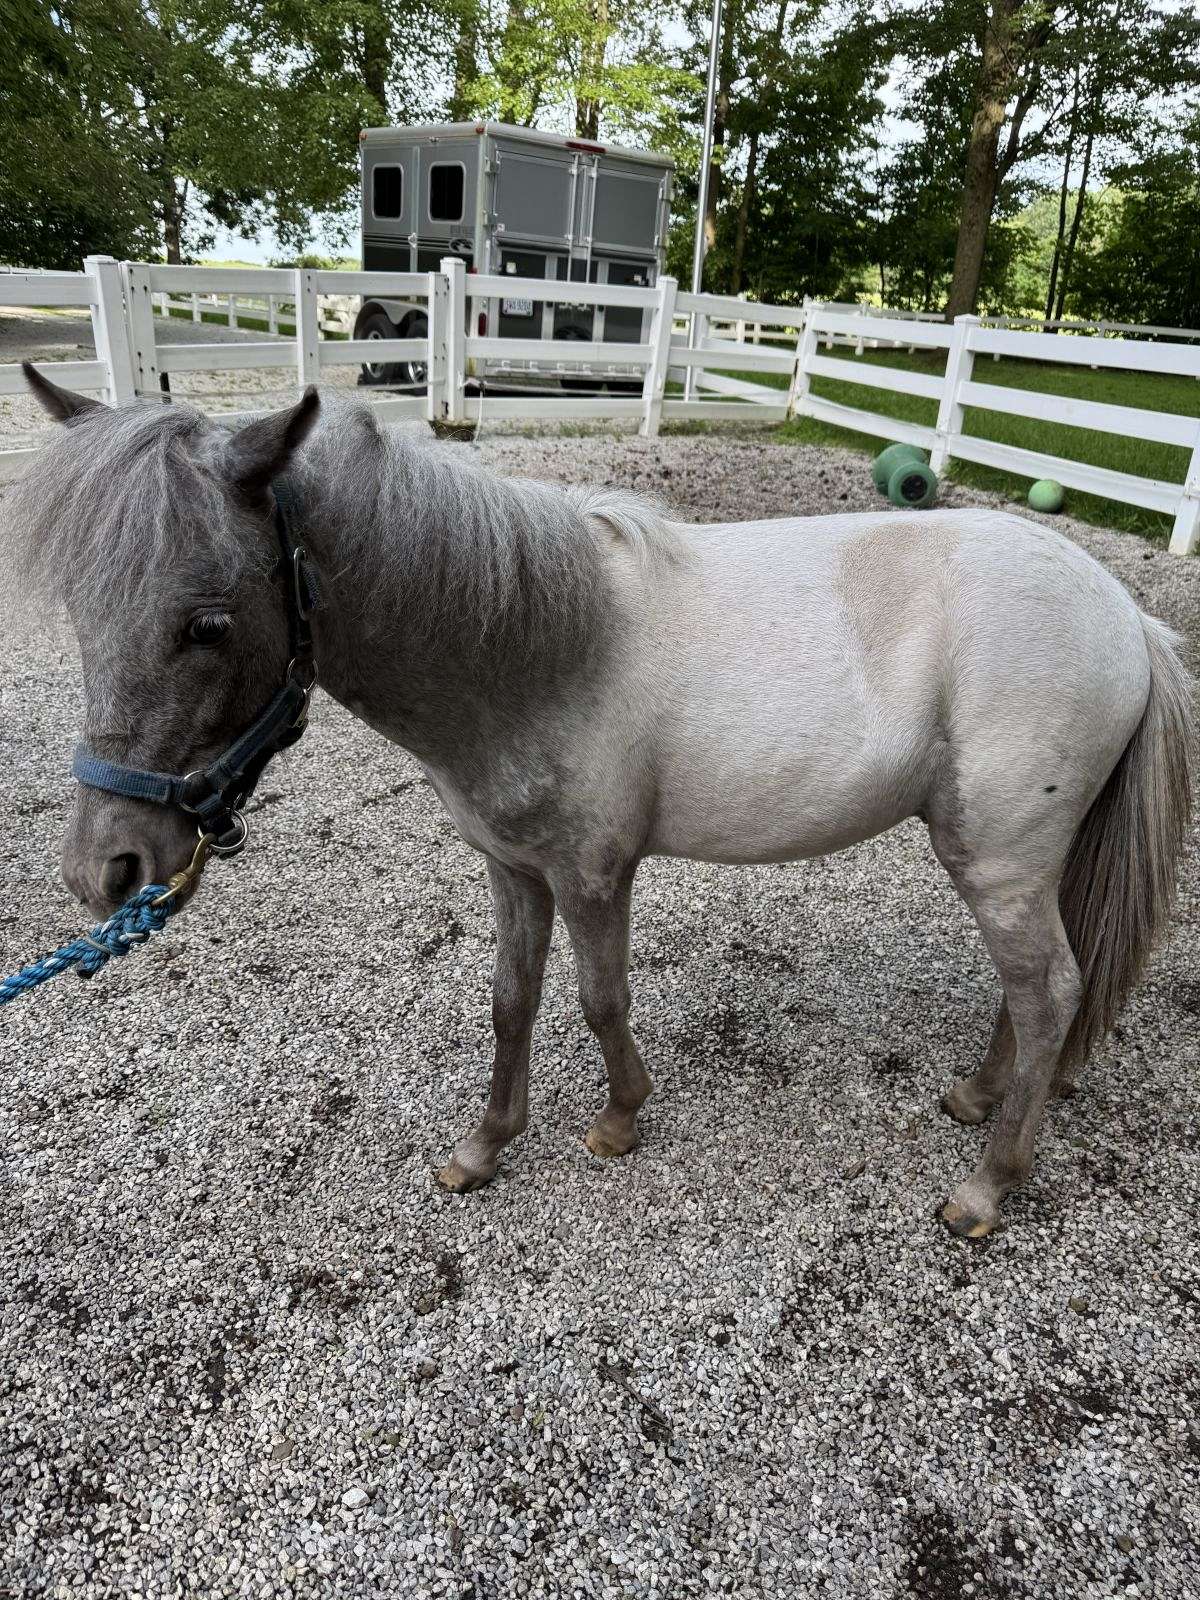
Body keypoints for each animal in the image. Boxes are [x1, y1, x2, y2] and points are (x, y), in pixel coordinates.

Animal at [8, 366, 1193, 1238]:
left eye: (206, 623)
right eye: (84, 609)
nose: (104, 867)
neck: (530, 650)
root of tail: (1128, 617)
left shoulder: (592, 871)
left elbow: (599, 1001)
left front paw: (619, 1122)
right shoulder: (511, 866)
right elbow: (512, 1001)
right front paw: (484, 1147)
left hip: (998, 859)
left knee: (1050, 993)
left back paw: (986, 1187)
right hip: (1012, 863)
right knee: (1033, 994)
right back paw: (978, 1101)